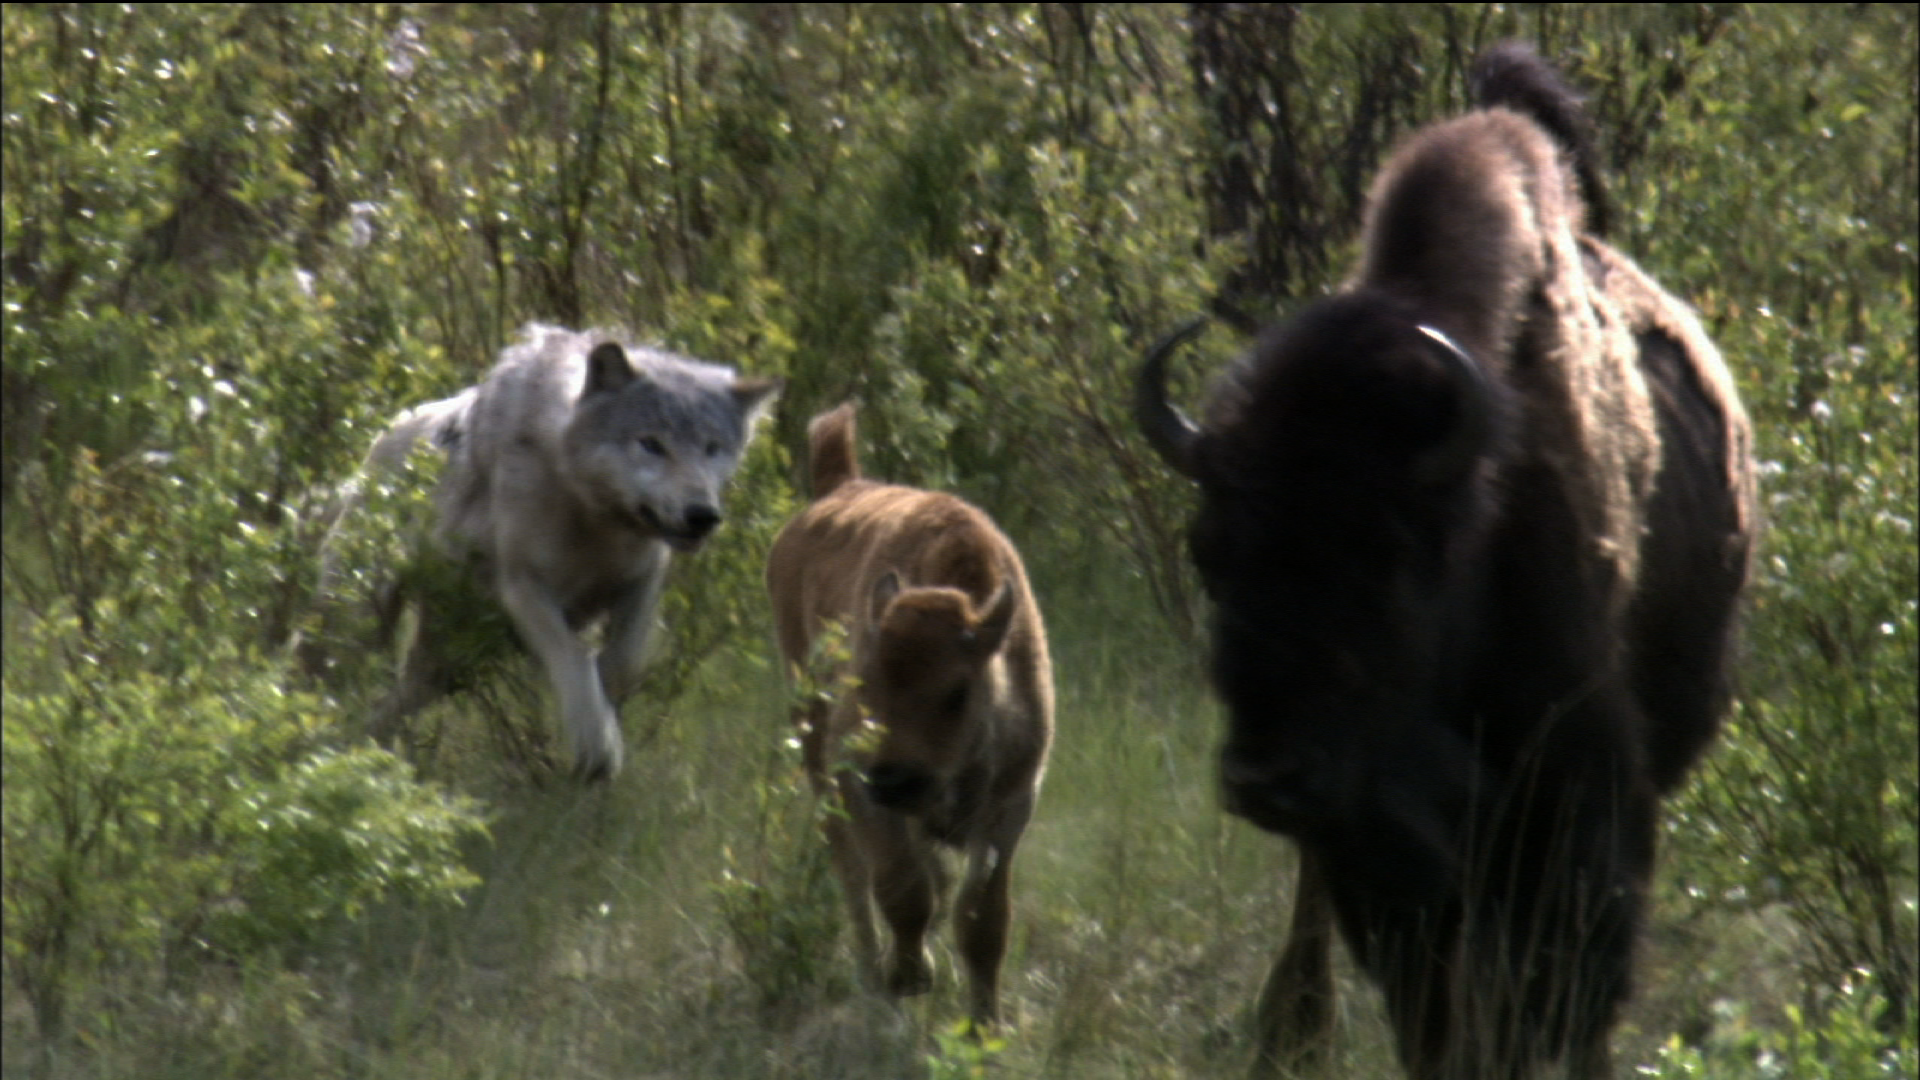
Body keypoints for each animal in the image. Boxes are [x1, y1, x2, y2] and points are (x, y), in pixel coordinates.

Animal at [343, 323, 780, 780]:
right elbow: (574, 657)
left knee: (390, 704)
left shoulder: (642, 580)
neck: (594, 519)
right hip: (364, 621)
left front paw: (608, 716)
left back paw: (368, 750)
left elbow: (623, 664)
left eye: (712, 448)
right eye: (651, 444)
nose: (702, 515)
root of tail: (385, 432)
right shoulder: (524, 586)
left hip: (450, 662)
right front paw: (596, 744)